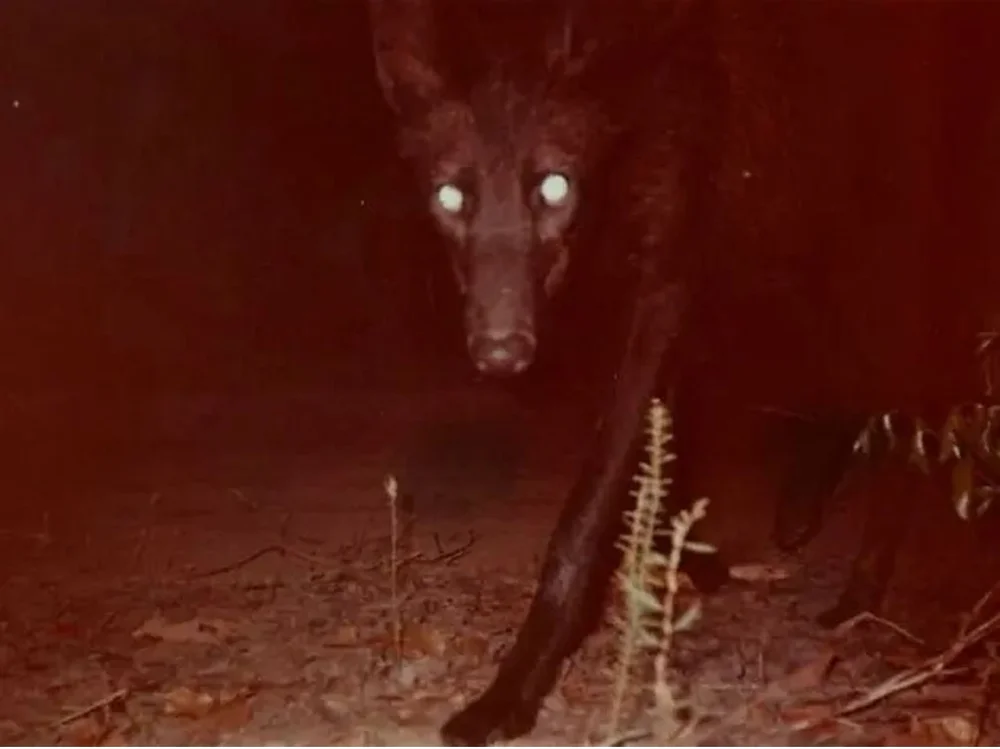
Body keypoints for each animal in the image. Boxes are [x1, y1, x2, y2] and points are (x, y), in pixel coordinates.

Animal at [365, 0, 1000, 744]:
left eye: (554, 185)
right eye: (449, 196)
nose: (501, 352)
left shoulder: (662, 288)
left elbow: (583, 522)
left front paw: (512, 691)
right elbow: (651, 466)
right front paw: (691, 557)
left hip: (859, 249)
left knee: (905, 404)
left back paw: (862, 589)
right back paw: (801, 512)